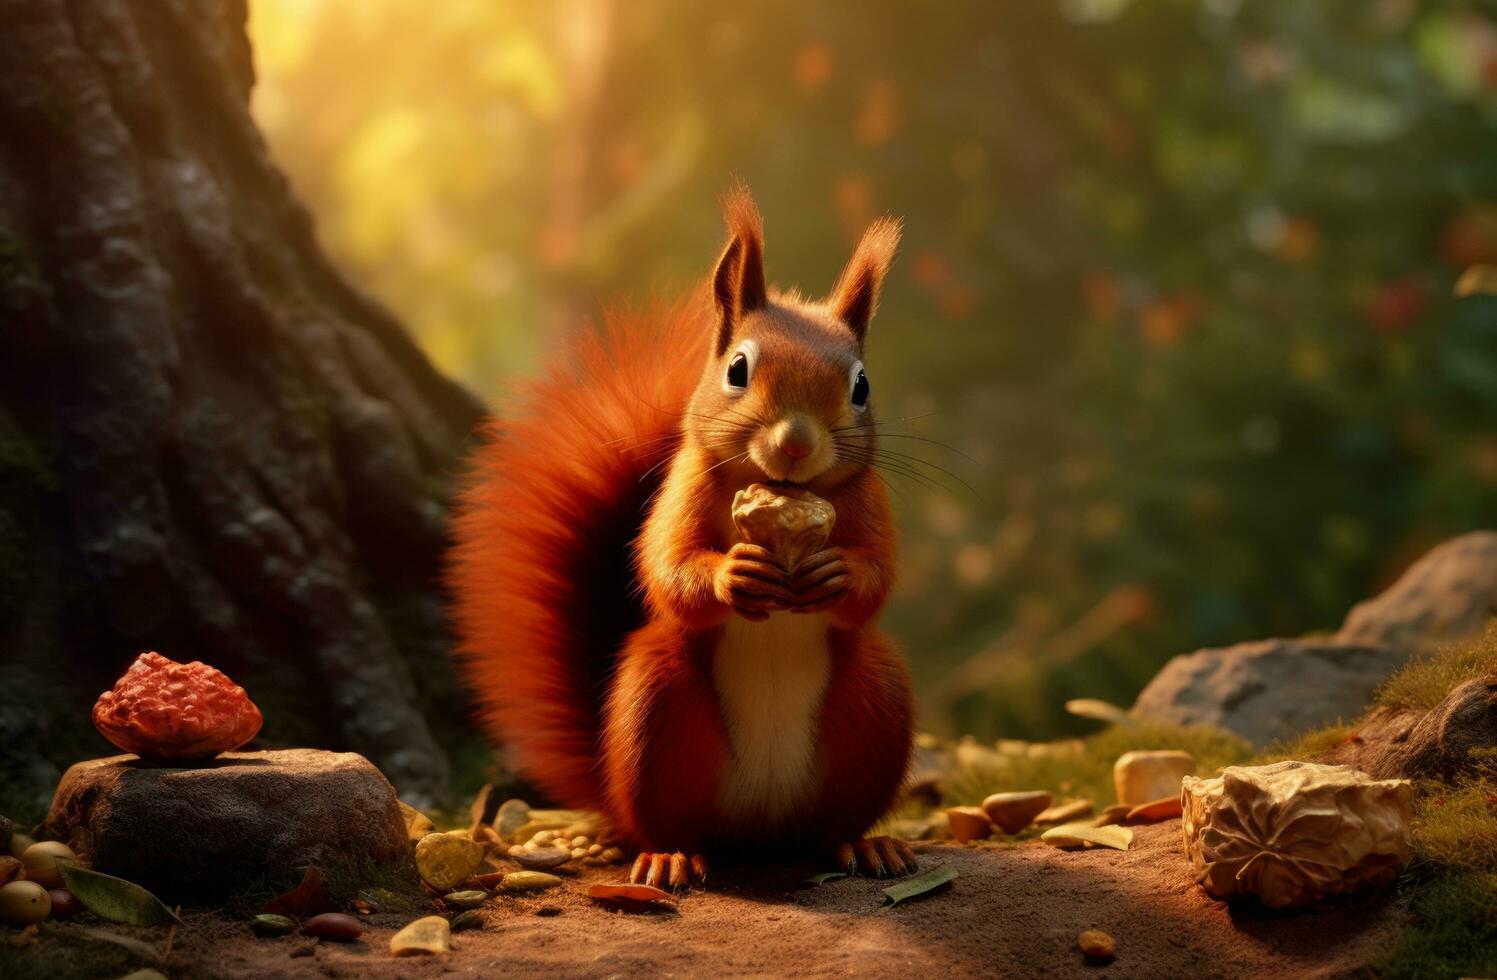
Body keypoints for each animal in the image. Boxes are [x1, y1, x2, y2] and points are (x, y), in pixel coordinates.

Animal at [448, 187, 916, 890]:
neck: (775, 489)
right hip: (658, 707)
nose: (796, 443)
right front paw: (732, 575)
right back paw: (670, 856)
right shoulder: (679, 492)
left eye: (862, 385)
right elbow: (666, 567)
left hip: (875, 704)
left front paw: (835, 573)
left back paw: (864, 846)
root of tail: (761, 833)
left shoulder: (870, 499)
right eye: (738, 368)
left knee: (829, 828)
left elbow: (879, 577)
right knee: (665, 824)